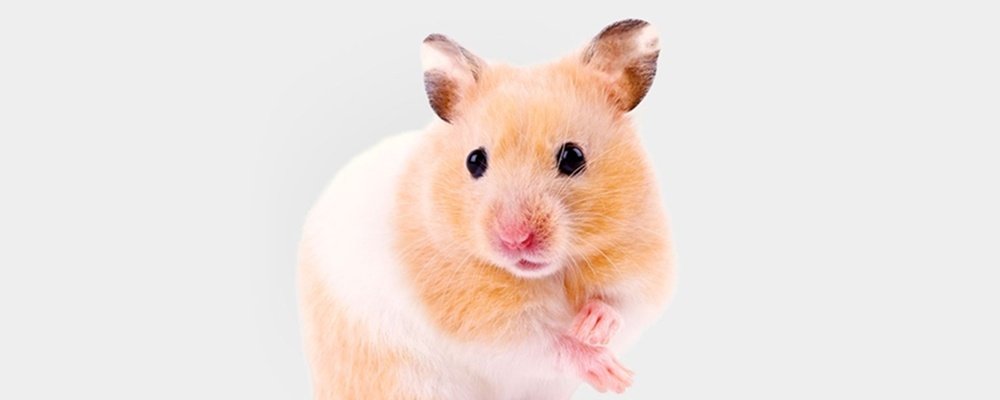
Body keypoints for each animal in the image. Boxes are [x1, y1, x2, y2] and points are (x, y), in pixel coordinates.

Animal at [298, 19, 675, 399]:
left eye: (573, 157)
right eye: (474, 161)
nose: (515, 239)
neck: (547, 274)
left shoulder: (641, 264)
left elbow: (621, 304)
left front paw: (594, 327)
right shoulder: (483, 323)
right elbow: (544, 345)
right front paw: (612, 373)